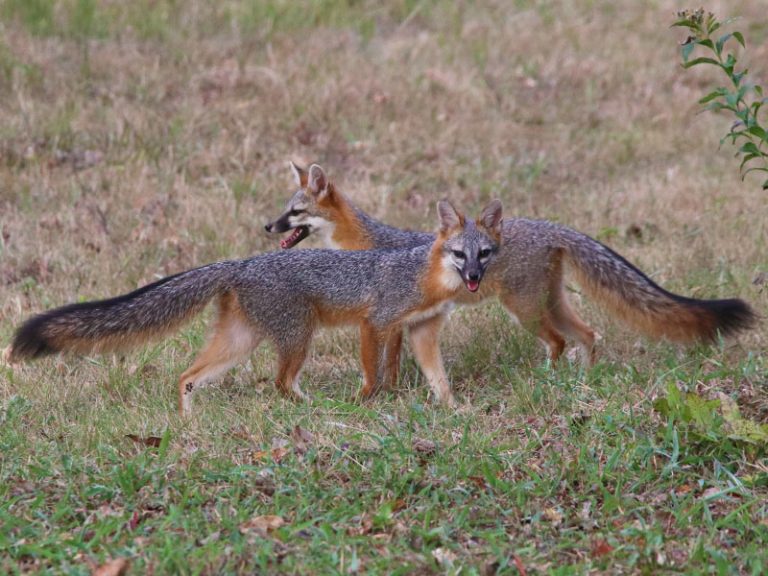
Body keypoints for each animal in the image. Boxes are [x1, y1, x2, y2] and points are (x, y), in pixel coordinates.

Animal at [6, 189, 502, 414]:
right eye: (459, 254)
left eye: (484, 253)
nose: (474, 278)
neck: (427, 278)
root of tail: (240, 263)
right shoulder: (376, 321)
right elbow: (373, 374)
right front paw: (363, 401)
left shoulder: (422, 329)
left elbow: (439, 379)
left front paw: (454, 410)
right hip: (298, 337)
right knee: (280, 382)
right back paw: (310, 407)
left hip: (240, 342)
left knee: (187, 376)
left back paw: (187, 423)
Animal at [266, 162, 756, 376]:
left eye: (294, 212)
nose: (267, 225)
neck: (364, 240)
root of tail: (551, 225)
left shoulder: (394, 315)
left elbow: (391, 359)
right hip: (548, 304)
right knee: (588, 334)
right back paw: (584, 379)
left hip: (524, 309)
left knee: (559, 341)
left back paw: (551, 376)